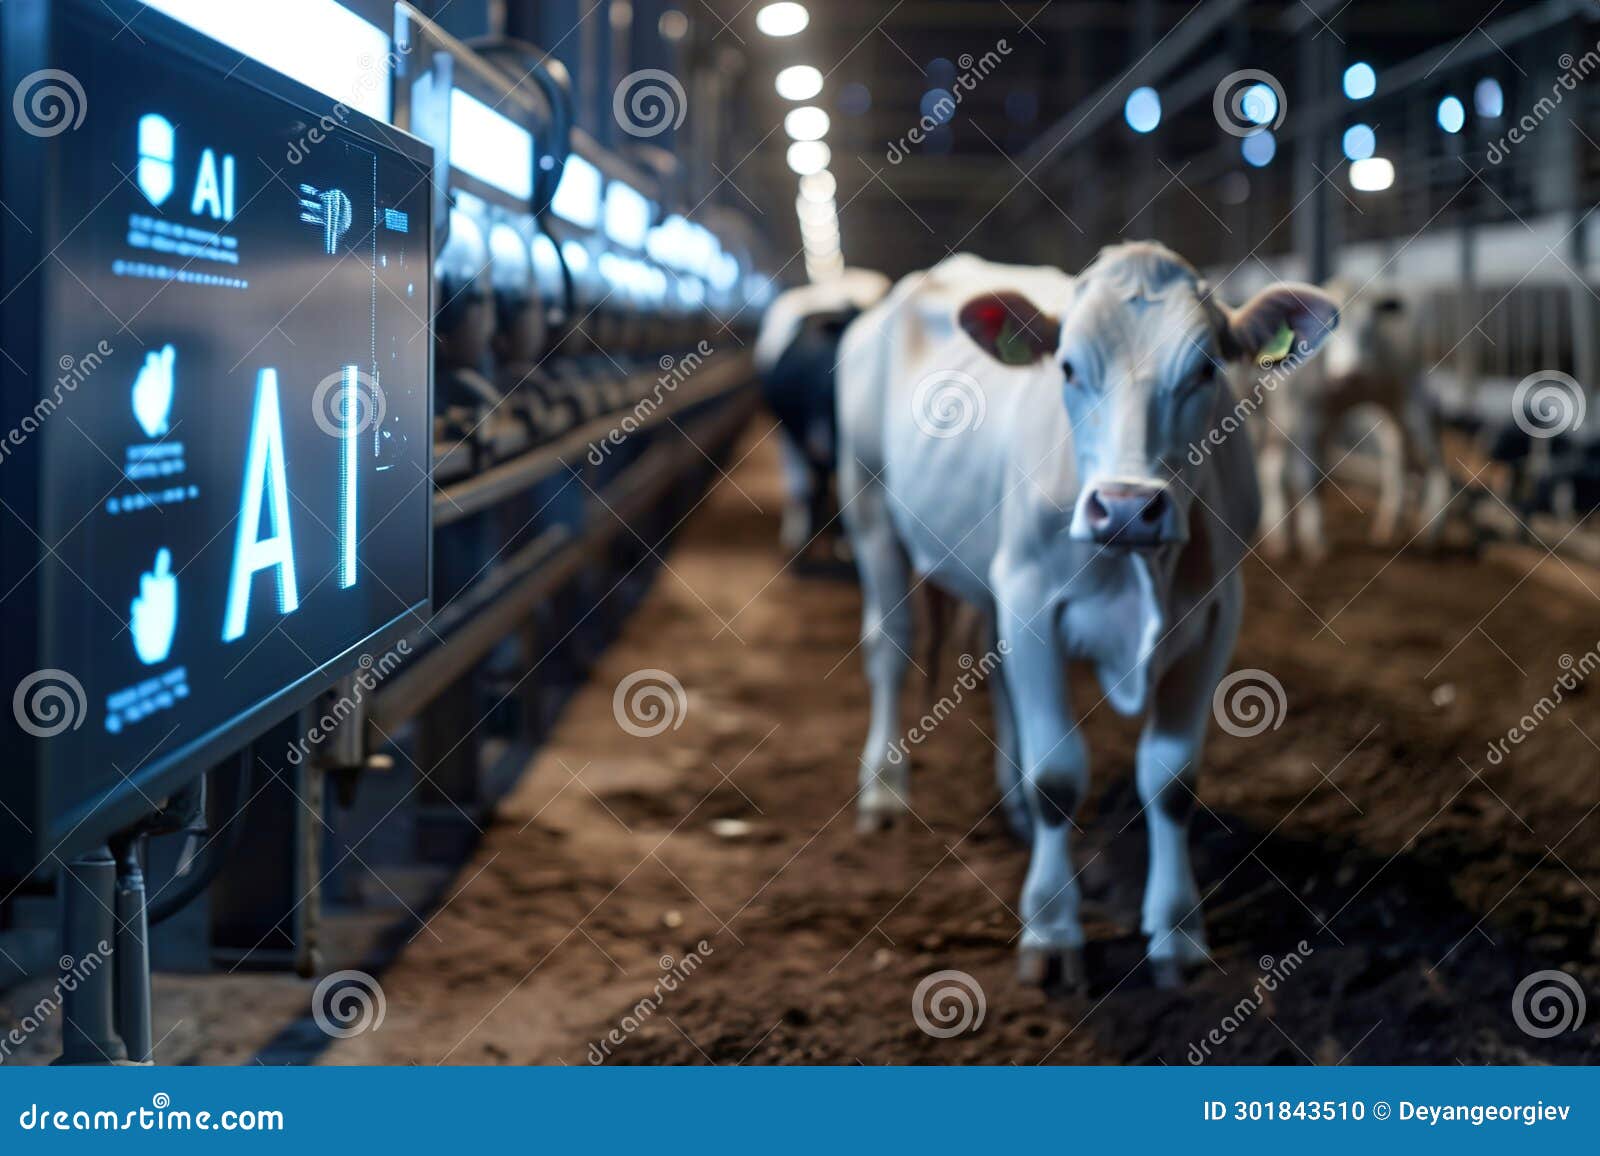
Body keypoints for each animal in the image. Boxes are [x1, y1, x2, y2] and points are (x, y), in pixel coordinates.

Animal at [835, 244, 1338, 989]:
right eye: (1068, 368)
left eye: (1206, 369)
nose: (1127, 506)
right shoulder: (1031, 598)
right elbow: (1057, 776)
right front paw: (1050, 929)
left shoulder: (1218, 610)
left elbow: (1172, 778)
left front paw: (1177, 930)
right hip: (869, 506)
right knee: (890, 647)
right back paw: (883, 791)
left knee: (995, 675)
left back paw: (1006, 801)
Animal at [1254, 280, 1451, 560]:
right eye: (1327, 328)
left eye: (1368, 328)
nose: (1350, 375)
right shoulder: (1305, 418)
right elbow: (1306, 476)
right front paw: (1315, 543)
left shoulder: (1409, 395)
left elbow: (1431, 460)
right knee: (1272, 469)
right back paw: (1279, 539)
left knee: (1405, 457)